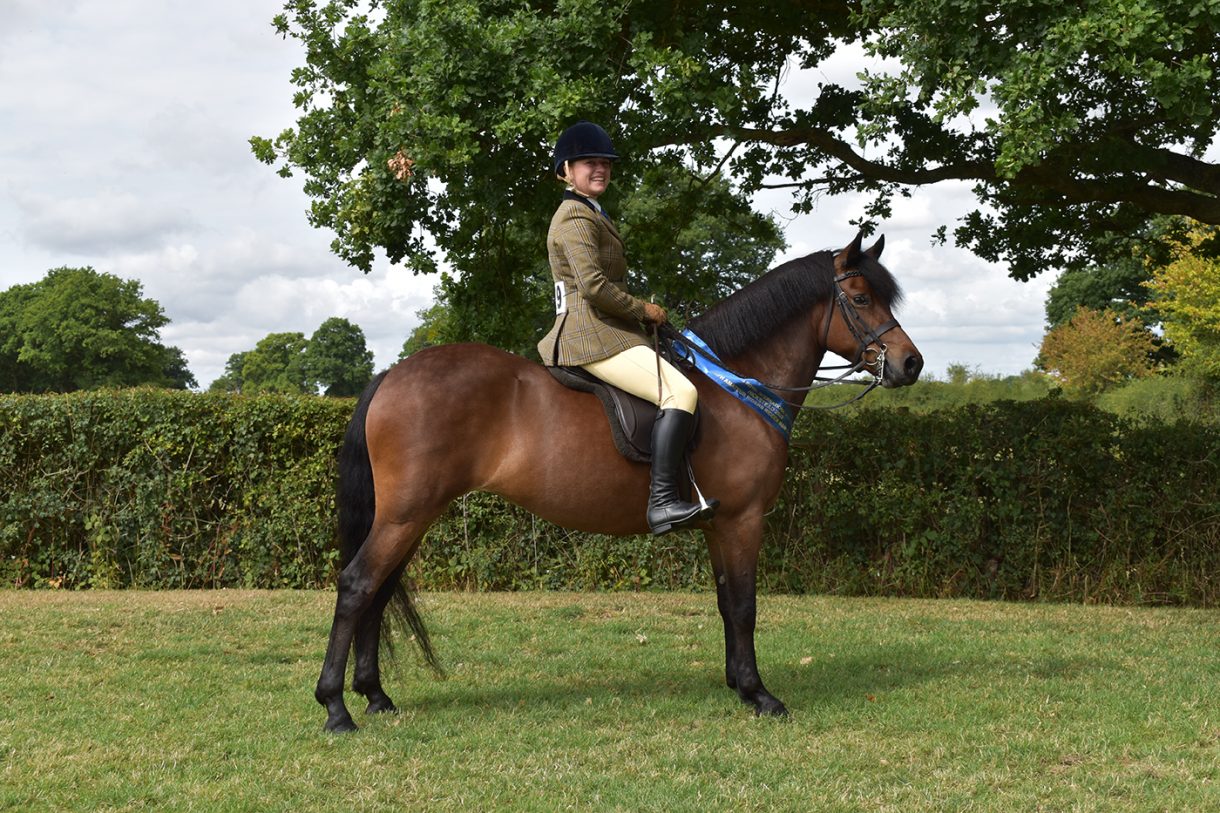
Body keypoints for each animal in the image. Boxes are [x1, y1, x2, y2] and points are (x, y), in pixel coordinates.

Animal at [315, 232, 923, 732]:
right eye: (862, 299)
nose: (910, 364)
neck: (738, 385)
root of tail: (392, 374)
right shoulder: (743, 519)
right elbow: (745, 606)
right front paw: (760, 695)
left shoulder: (720, 524)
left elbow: (726, 602)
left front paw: (736, 685)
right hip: (406, 514)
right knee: (358, 586)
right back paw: (337, 708)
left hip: (410, 516)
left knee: (379, 589)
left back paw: (376, 696)